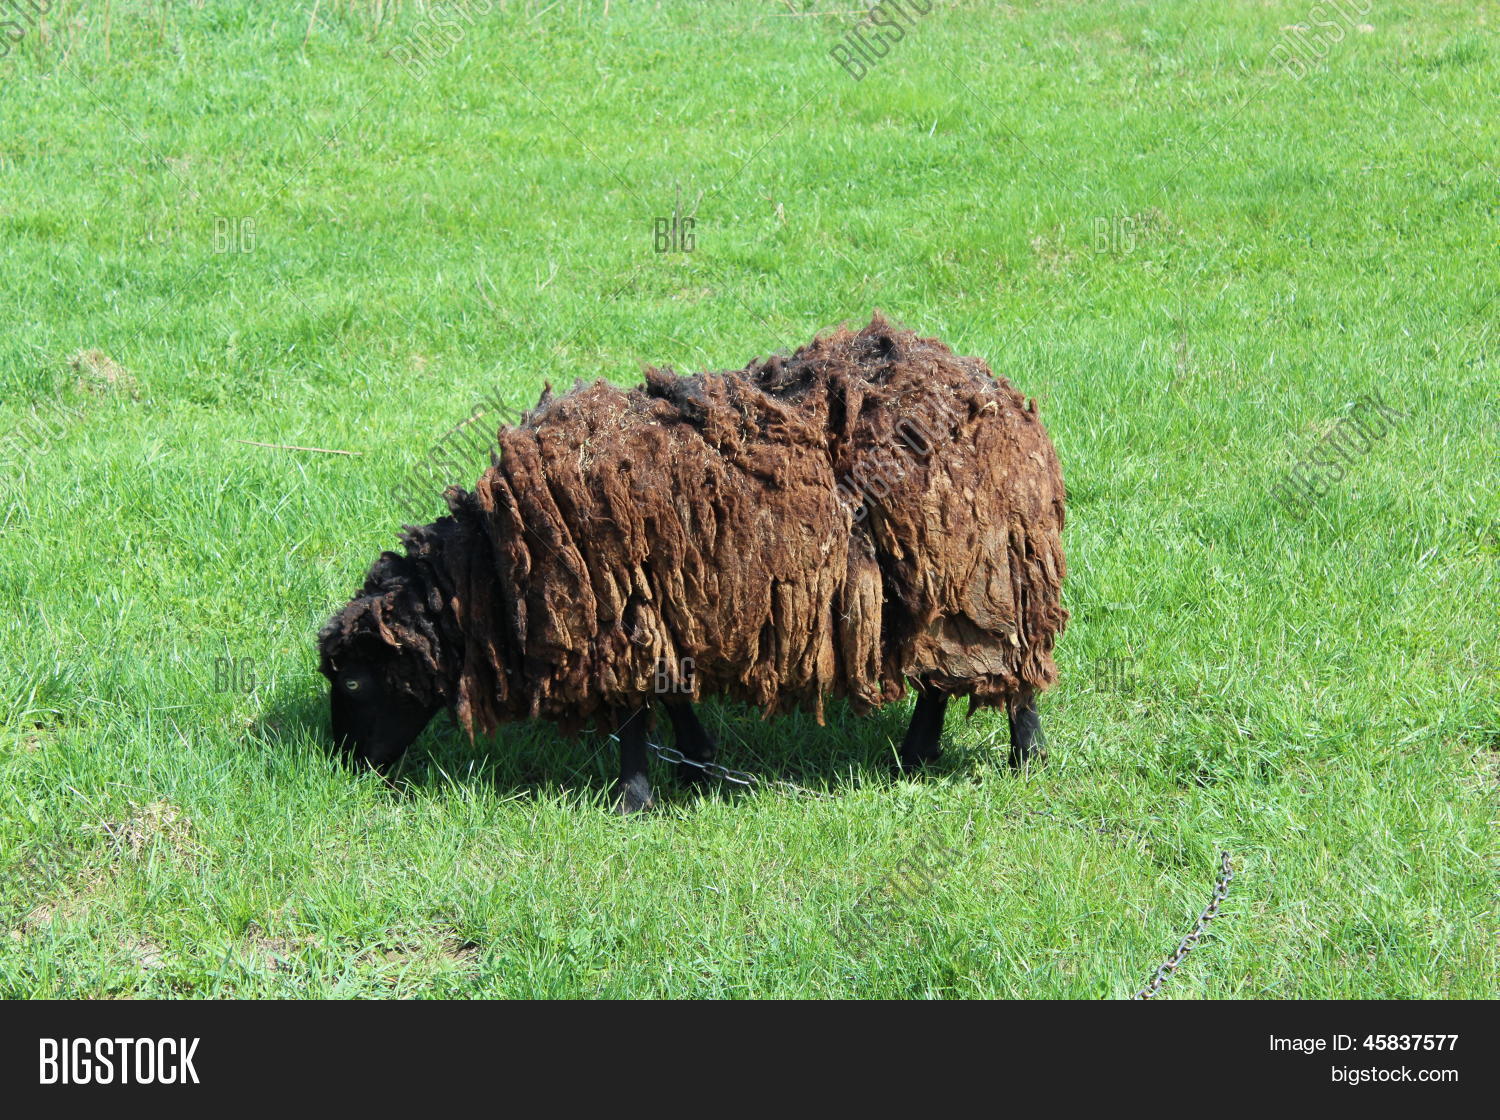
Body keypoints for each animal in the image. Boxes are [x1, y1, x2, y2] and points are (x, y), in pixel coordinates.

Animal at [318, 314, 1067, 811]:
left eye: (354, 680)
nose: (344, 769)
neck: (493, 577)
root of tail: (1004, 395)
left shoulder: (615, 619)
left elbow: (632, 718)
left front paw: (632, 799)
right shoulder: (659, 612)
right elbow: (673, 697)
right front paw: (697, 768)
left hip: (987, 563)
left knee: (1009, 668)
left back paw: (1024, 758)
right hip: (936, 578)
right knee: (939, 670)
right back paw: (915, 755)